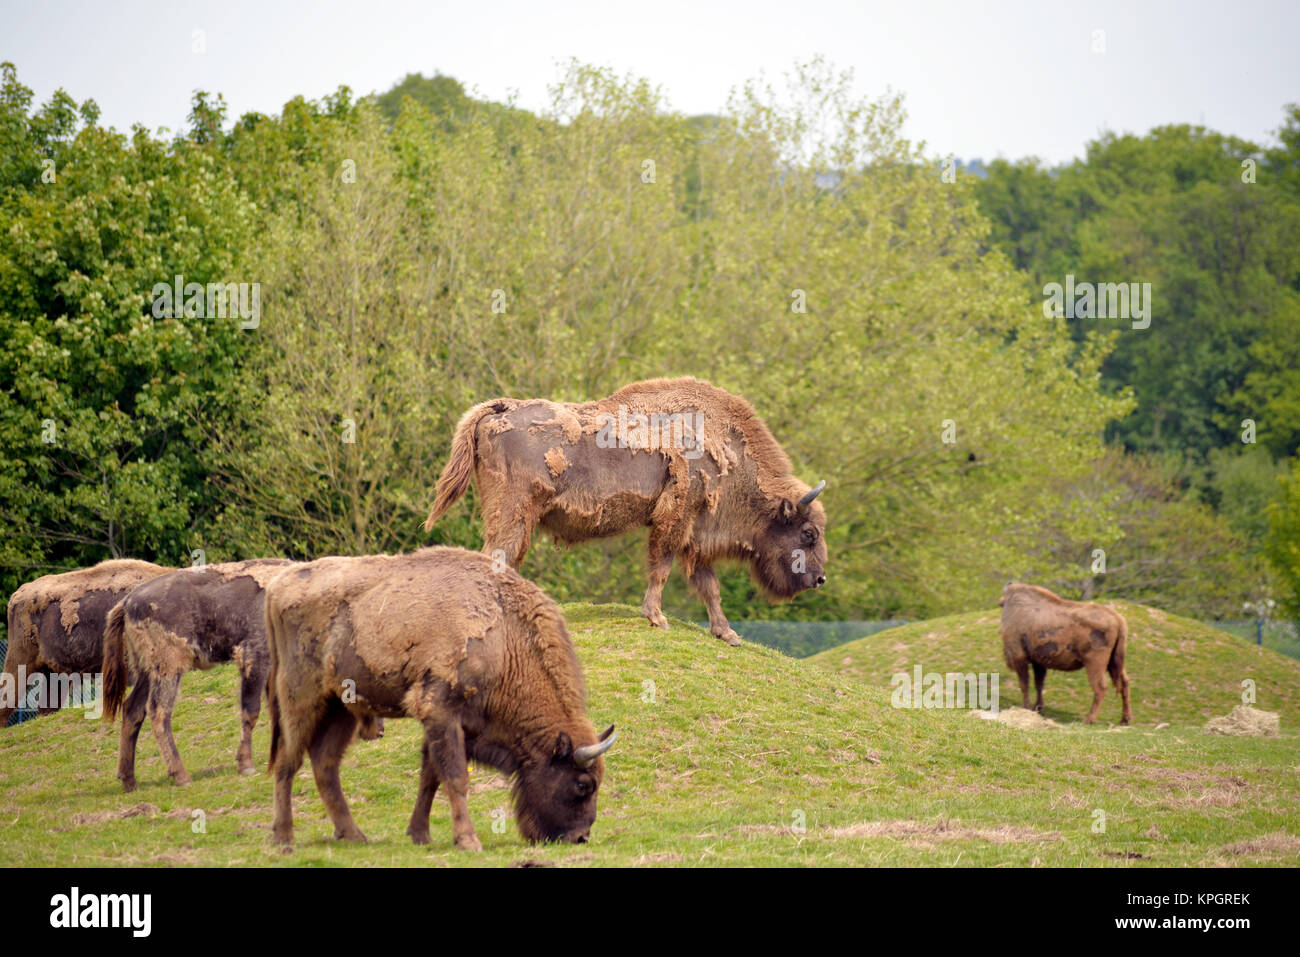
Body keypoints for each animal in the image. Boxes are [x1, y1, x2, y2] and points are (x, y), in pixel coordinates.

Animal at [264, 546, 616, 851]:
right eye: (582, 785)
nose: (580, 837)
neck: (504, 639)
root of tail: (278, 586)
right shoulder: (440, 712)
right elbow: (456, 777)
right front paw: (469, 841)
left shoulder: (458, 725)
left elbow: (430, 776)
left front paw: (420, 835)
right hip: (301, 699)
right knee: (287, 762)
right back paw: (284, 838)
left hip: (340, 707)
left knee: (325, 764)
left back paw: (353, 835)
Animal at [424, 376, 827, 646]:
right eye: (808, 533)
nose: (820, 579)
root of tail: (500, 408)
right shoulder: (675, 519)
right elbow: (661, 567)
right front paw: (656, 617)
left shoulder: (695, 534)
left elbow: (708, 586)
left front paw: (727, 633)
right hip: (513, 514)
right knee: (497, 559)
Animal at [999, 582, 1132, 724]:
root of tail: (1118, 619)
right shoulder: (1038, 662)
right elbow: (1038, 684)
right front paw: (1038, 707)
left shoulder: (1020, 658)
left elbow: (1024, 684)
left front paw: (1026, 707)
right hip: (1115, 663)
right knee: (1125, 683)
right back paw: (1125, 719)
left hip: (1095, 664)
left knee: (1100, 687)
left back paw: (1089, 719)